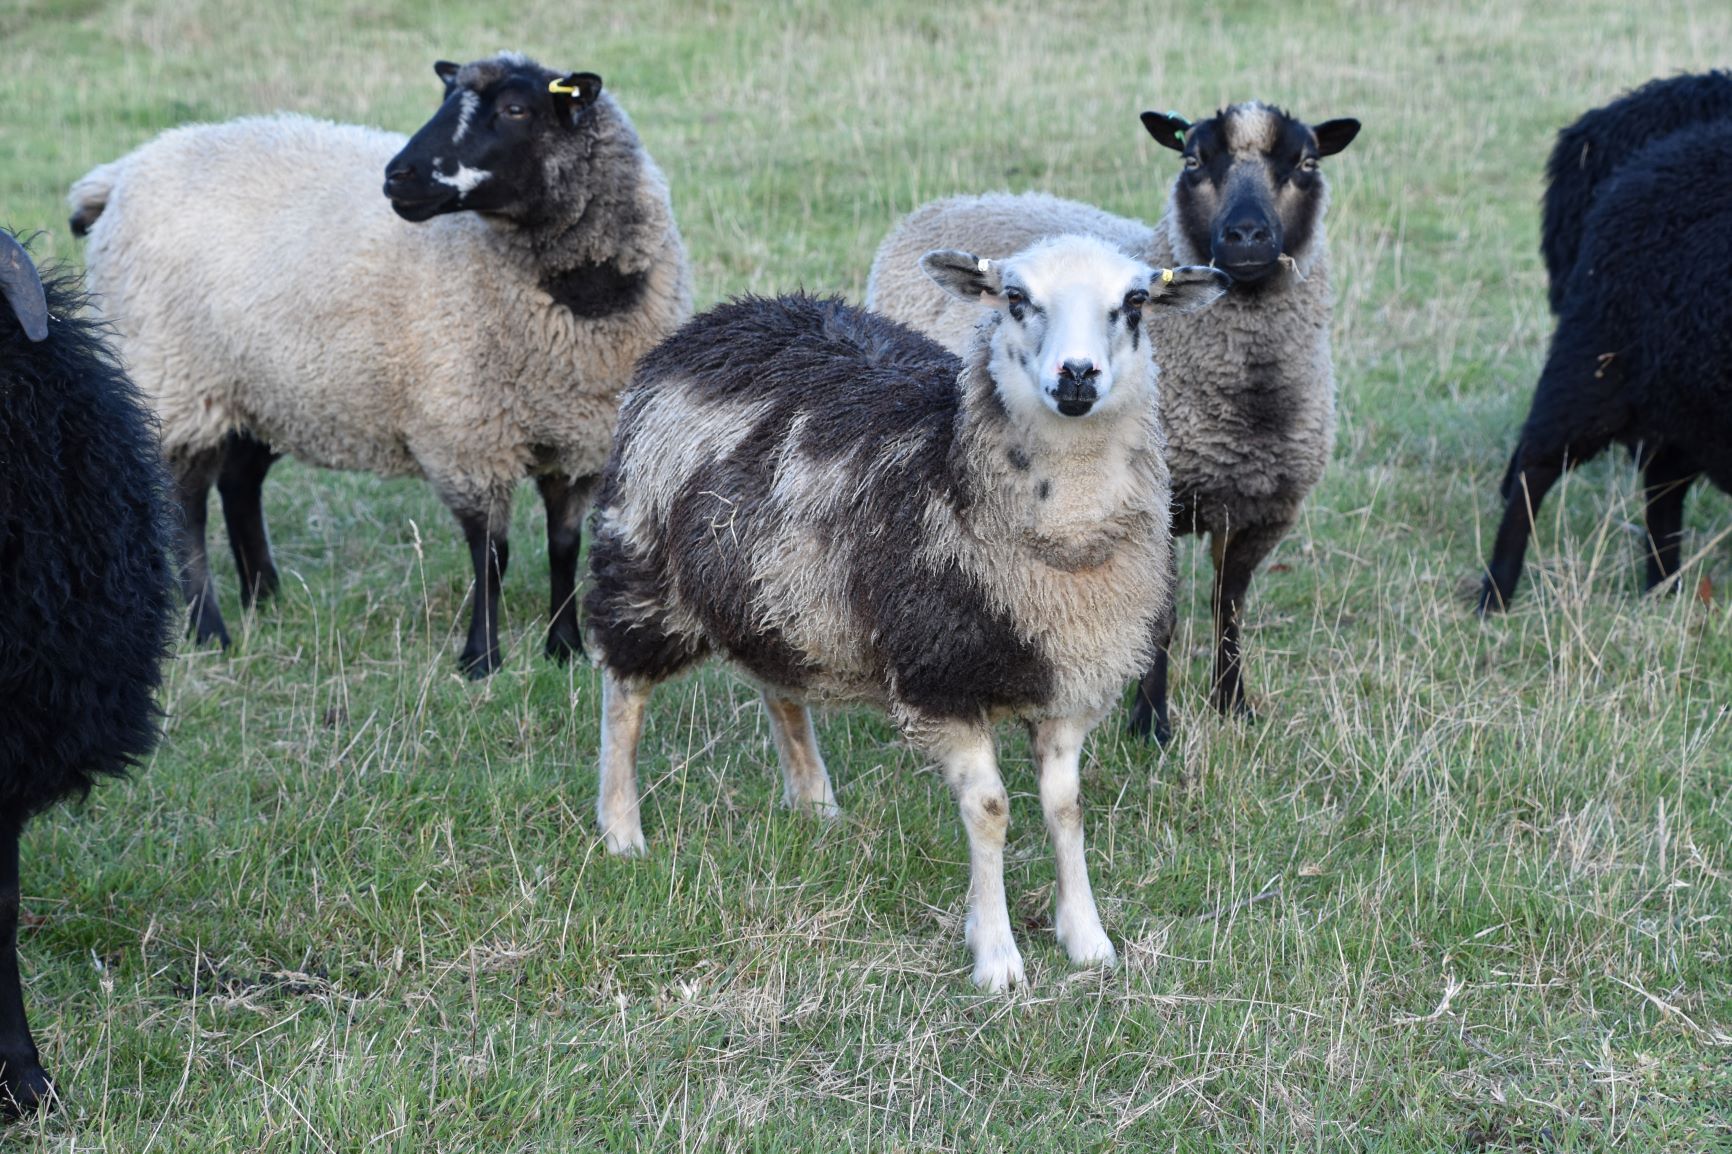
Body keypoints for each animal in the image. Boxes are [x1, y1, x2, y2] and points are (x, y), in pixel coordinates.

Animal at [70, 53, 693, 676]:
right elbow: (492, 553)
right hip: (176, 377)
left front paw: (564, 648)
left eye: (516, 108)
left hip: (265, 382)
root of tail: (124, 169)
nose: (398, 177)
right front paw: (481, 658)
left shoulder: (580, 439)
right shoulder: (469, 436)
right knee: (188, 509)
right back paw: (209, 628)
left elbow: (564, 546)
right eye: (445, 98)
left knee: (240, 482)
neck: (578, 302)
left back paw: (265, 596)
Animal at [583, 233, 1228, 990]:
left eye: (1133, 303)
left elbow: (1066, 808)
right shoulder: (940, 680)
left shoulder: (1071, 687)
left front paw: (1087, 939)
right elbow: (990, 810)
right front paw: (997, 958)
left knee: (779, 684)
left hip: (777, 591)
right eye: (1016, 299)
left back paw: (815, 802)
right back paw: (621, 828)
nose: (1077, 376)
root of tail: (728, 316)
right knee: (623, 690)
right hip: (645, 562)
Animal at [865, 102, 1360, 742]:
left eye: (1306, 163)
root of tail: (949, 202)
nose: (1246, 237)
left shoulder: (1263, 510)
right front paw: (1151, 724)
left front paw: (1233, 704)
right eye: (1193, 160)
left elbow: (1228, 608)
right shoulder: (1157, 506)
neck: (1244, 401)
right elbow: (1163, 616)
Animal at [1479, 118, 1732, 611]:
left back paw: (1662, 587)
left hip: (1686, 395)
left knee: (1663, 484)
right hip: (1596, 367)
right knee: (1533, 470)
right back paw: (1495, 592)